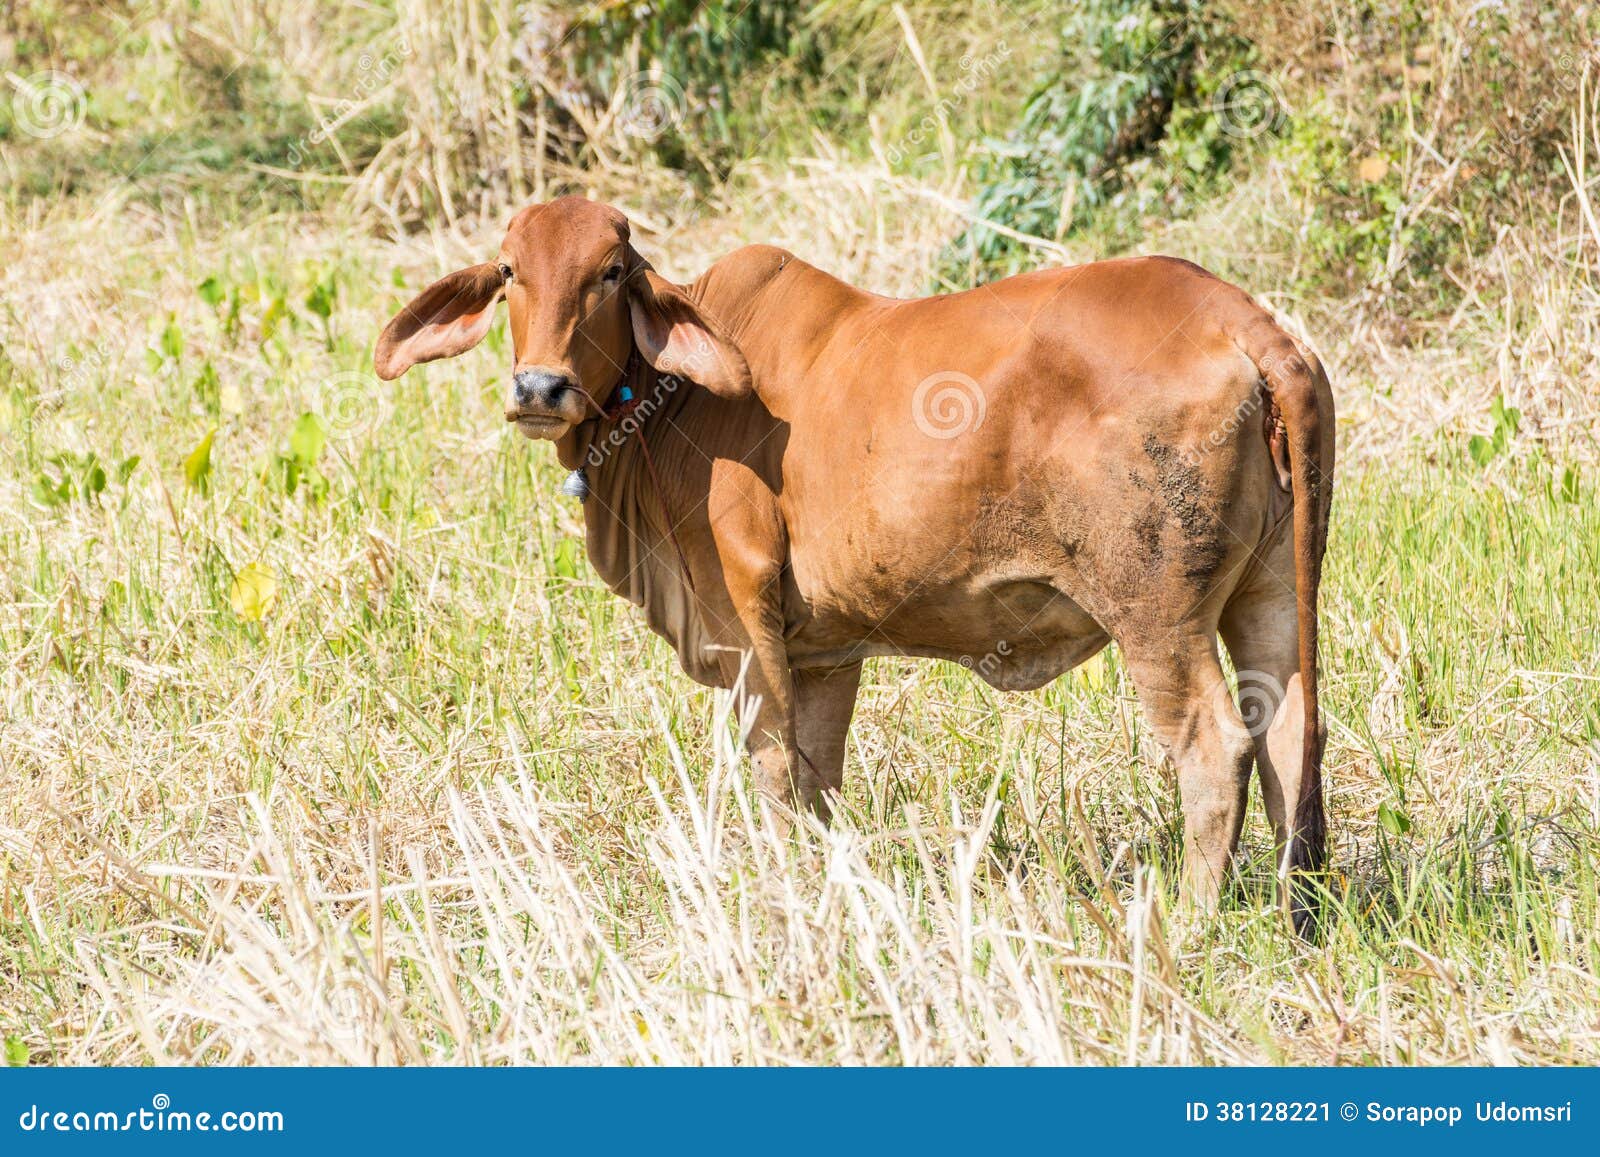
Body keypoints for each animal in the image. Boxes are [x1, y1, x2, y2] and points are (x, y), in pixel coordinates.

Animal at [375, 196, 1336, 933]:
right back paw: (1299, 921)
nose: (539, 388)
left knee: (1215, 746)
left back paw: (1193, 924)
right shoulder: (825, 654)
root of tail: (1242, 321)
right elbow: (818, 778)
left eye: (610, 271)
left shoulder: (745, 621)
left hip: (1155, 613)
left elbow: (772, 772)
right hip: (1271, 595)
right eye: (509, 270)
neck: (670, 404)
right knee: (1292, 731)